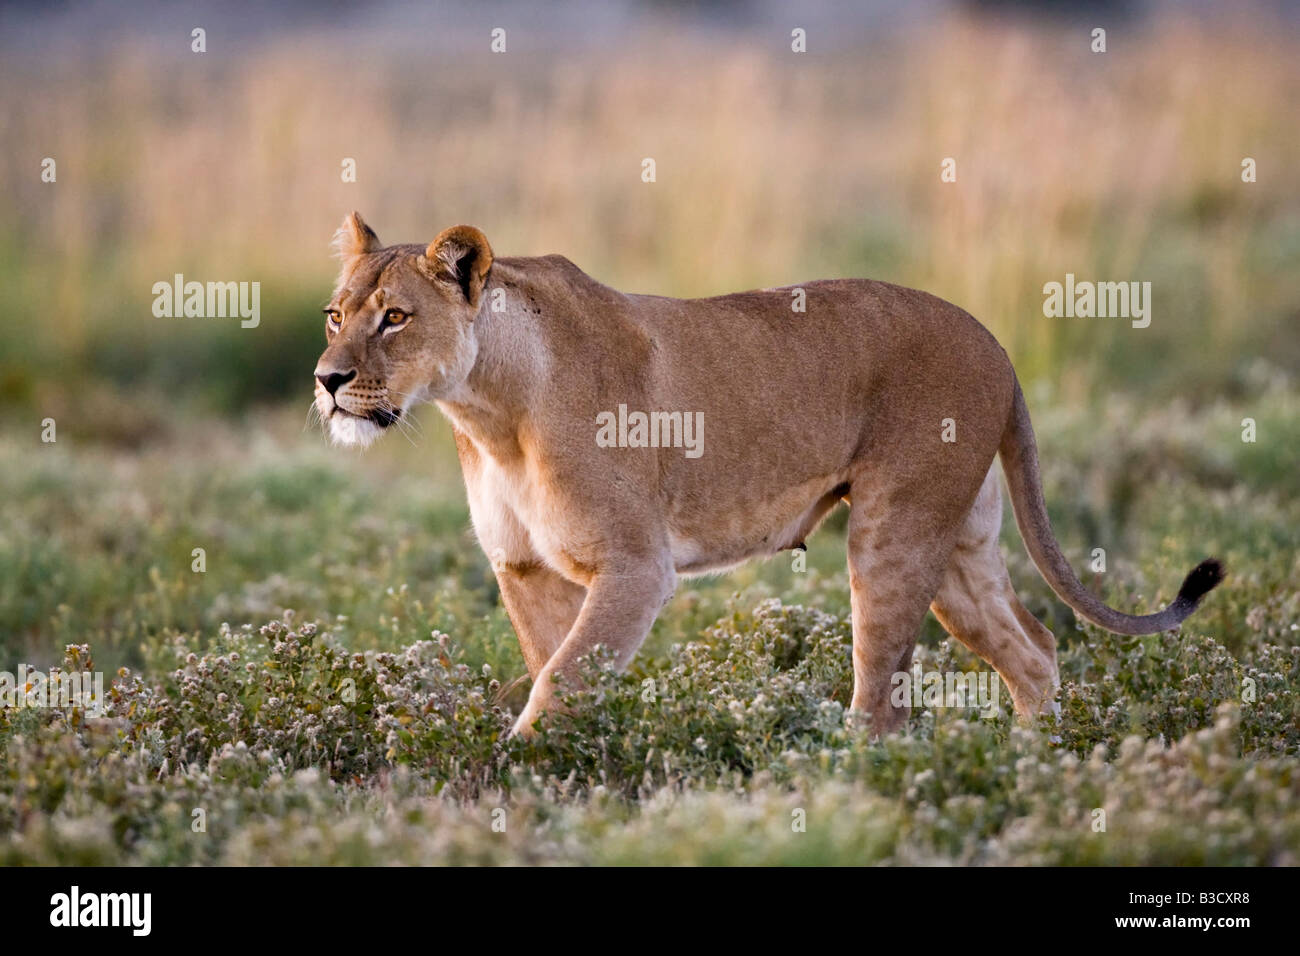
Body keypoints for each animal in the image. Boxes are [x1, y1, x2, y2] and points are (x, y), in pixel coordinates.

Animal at [314, 212, 1224, 739]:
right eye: (334, 314)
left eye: (395, 318)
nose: (326, 380)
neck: (491, 414)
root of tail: (995, 342)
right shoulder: (525, 568)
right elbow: (555, 671)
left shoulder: (635, 568)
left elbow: (561, 684)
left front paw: (523, 772)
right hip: (962, 546)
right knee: (1033, 649)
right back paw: (1040, 766)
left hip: (893, 535)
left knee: (885, 702)